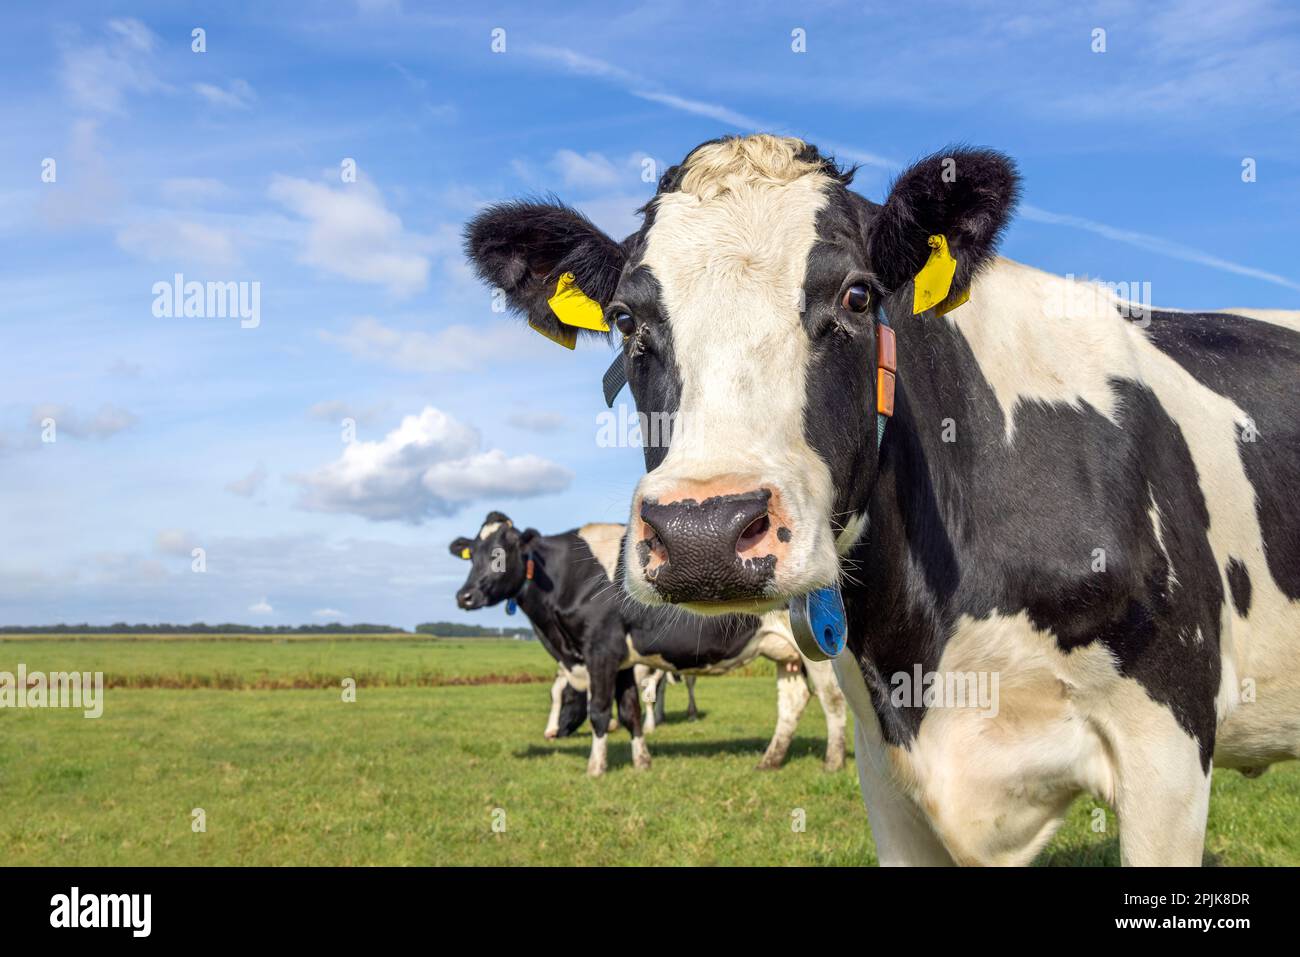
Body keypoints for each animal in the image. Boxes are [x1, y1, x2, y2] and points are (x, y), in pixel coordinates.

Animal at [450, 511, 846, 776]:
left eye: (506, 550)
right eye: (474, 552)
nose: (464, 596)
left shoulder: (600, 650)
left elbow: (599, 711)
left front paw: (596, 768)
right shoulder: (624, 659)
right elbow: (630, 712)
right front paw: (642, 762)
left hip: (821, 650)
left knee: (833, 701)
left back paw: (833, 761)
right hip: (785, 652)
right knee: (793, 702)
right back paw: (770, 760)